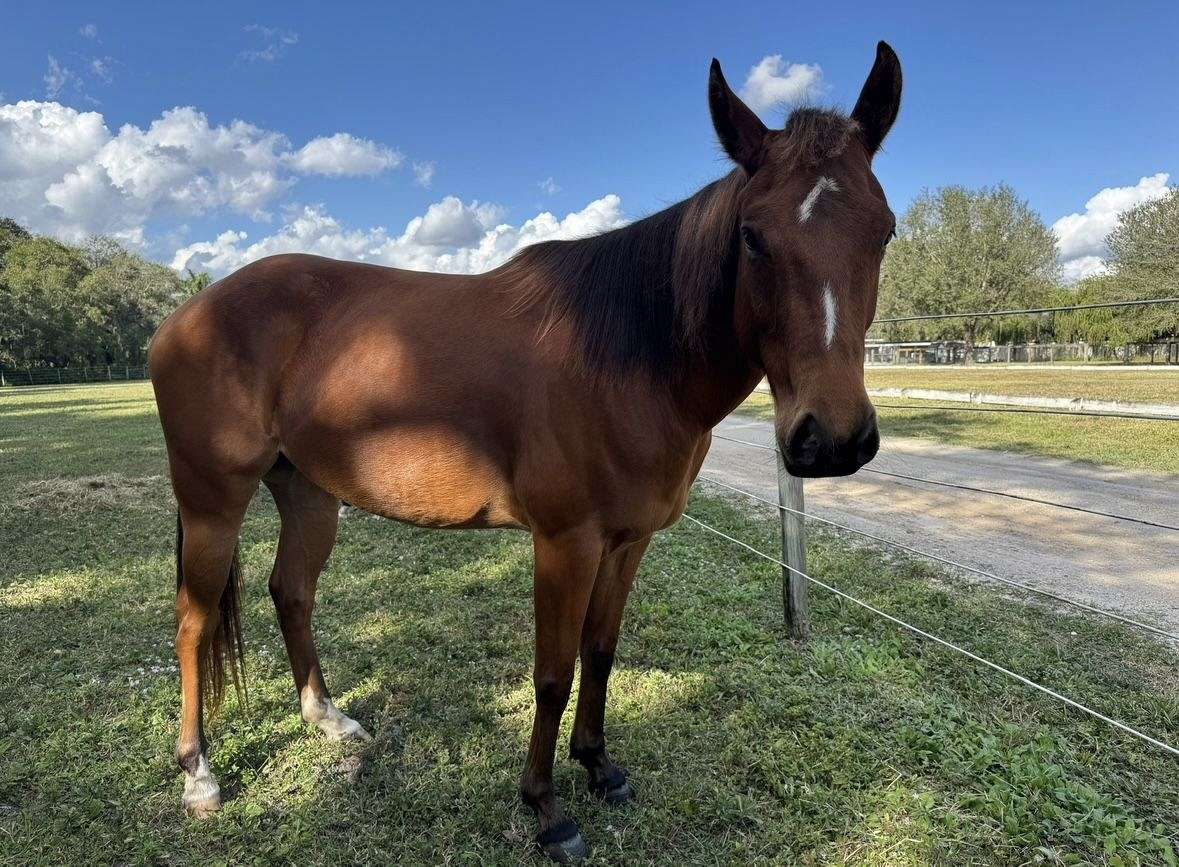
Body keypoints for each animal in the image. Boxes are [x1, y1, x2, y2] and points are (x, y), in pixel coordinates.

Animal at [149, 42, 901, 862]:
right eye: (753, 236)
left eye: (884, 231)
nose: (831, 438)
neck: (626, 353)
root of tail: (185, 315)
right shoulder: (564, 542)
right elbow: (552, 672)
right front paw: (546, 808)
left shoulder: (628, 540)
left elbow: (601, 653)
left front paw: (598, 766)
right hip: (213, 502)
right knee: (192, 622)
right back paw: (198, 773)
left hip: (309, 494)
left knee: (290, 590)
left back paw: (328, 720)